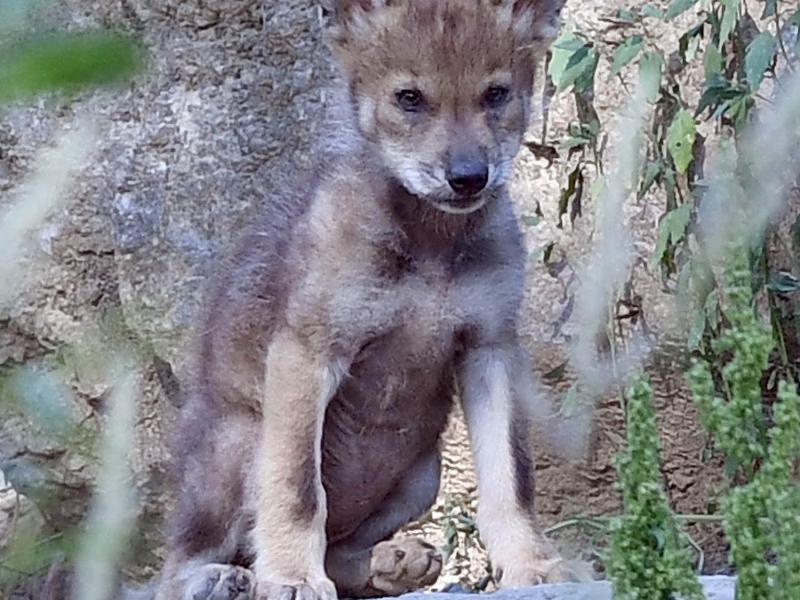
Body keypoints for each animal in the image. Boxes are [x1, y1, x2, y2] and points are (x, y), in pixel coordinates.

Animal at [153, 1, 578, 599]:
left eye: (496, 94)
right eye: (409, 98)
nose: (469, 179)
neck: (430, 245)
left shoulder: (490, 350)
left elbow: (510, 482)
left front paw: (530, 566)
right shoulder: (307, 354)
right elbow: (298, 491)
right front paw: (291, 575)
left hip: (422, 474)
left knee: (339, 550)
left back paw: (390, 562)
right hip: (241, 442)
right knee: (175, 565)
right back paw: (219, 578)